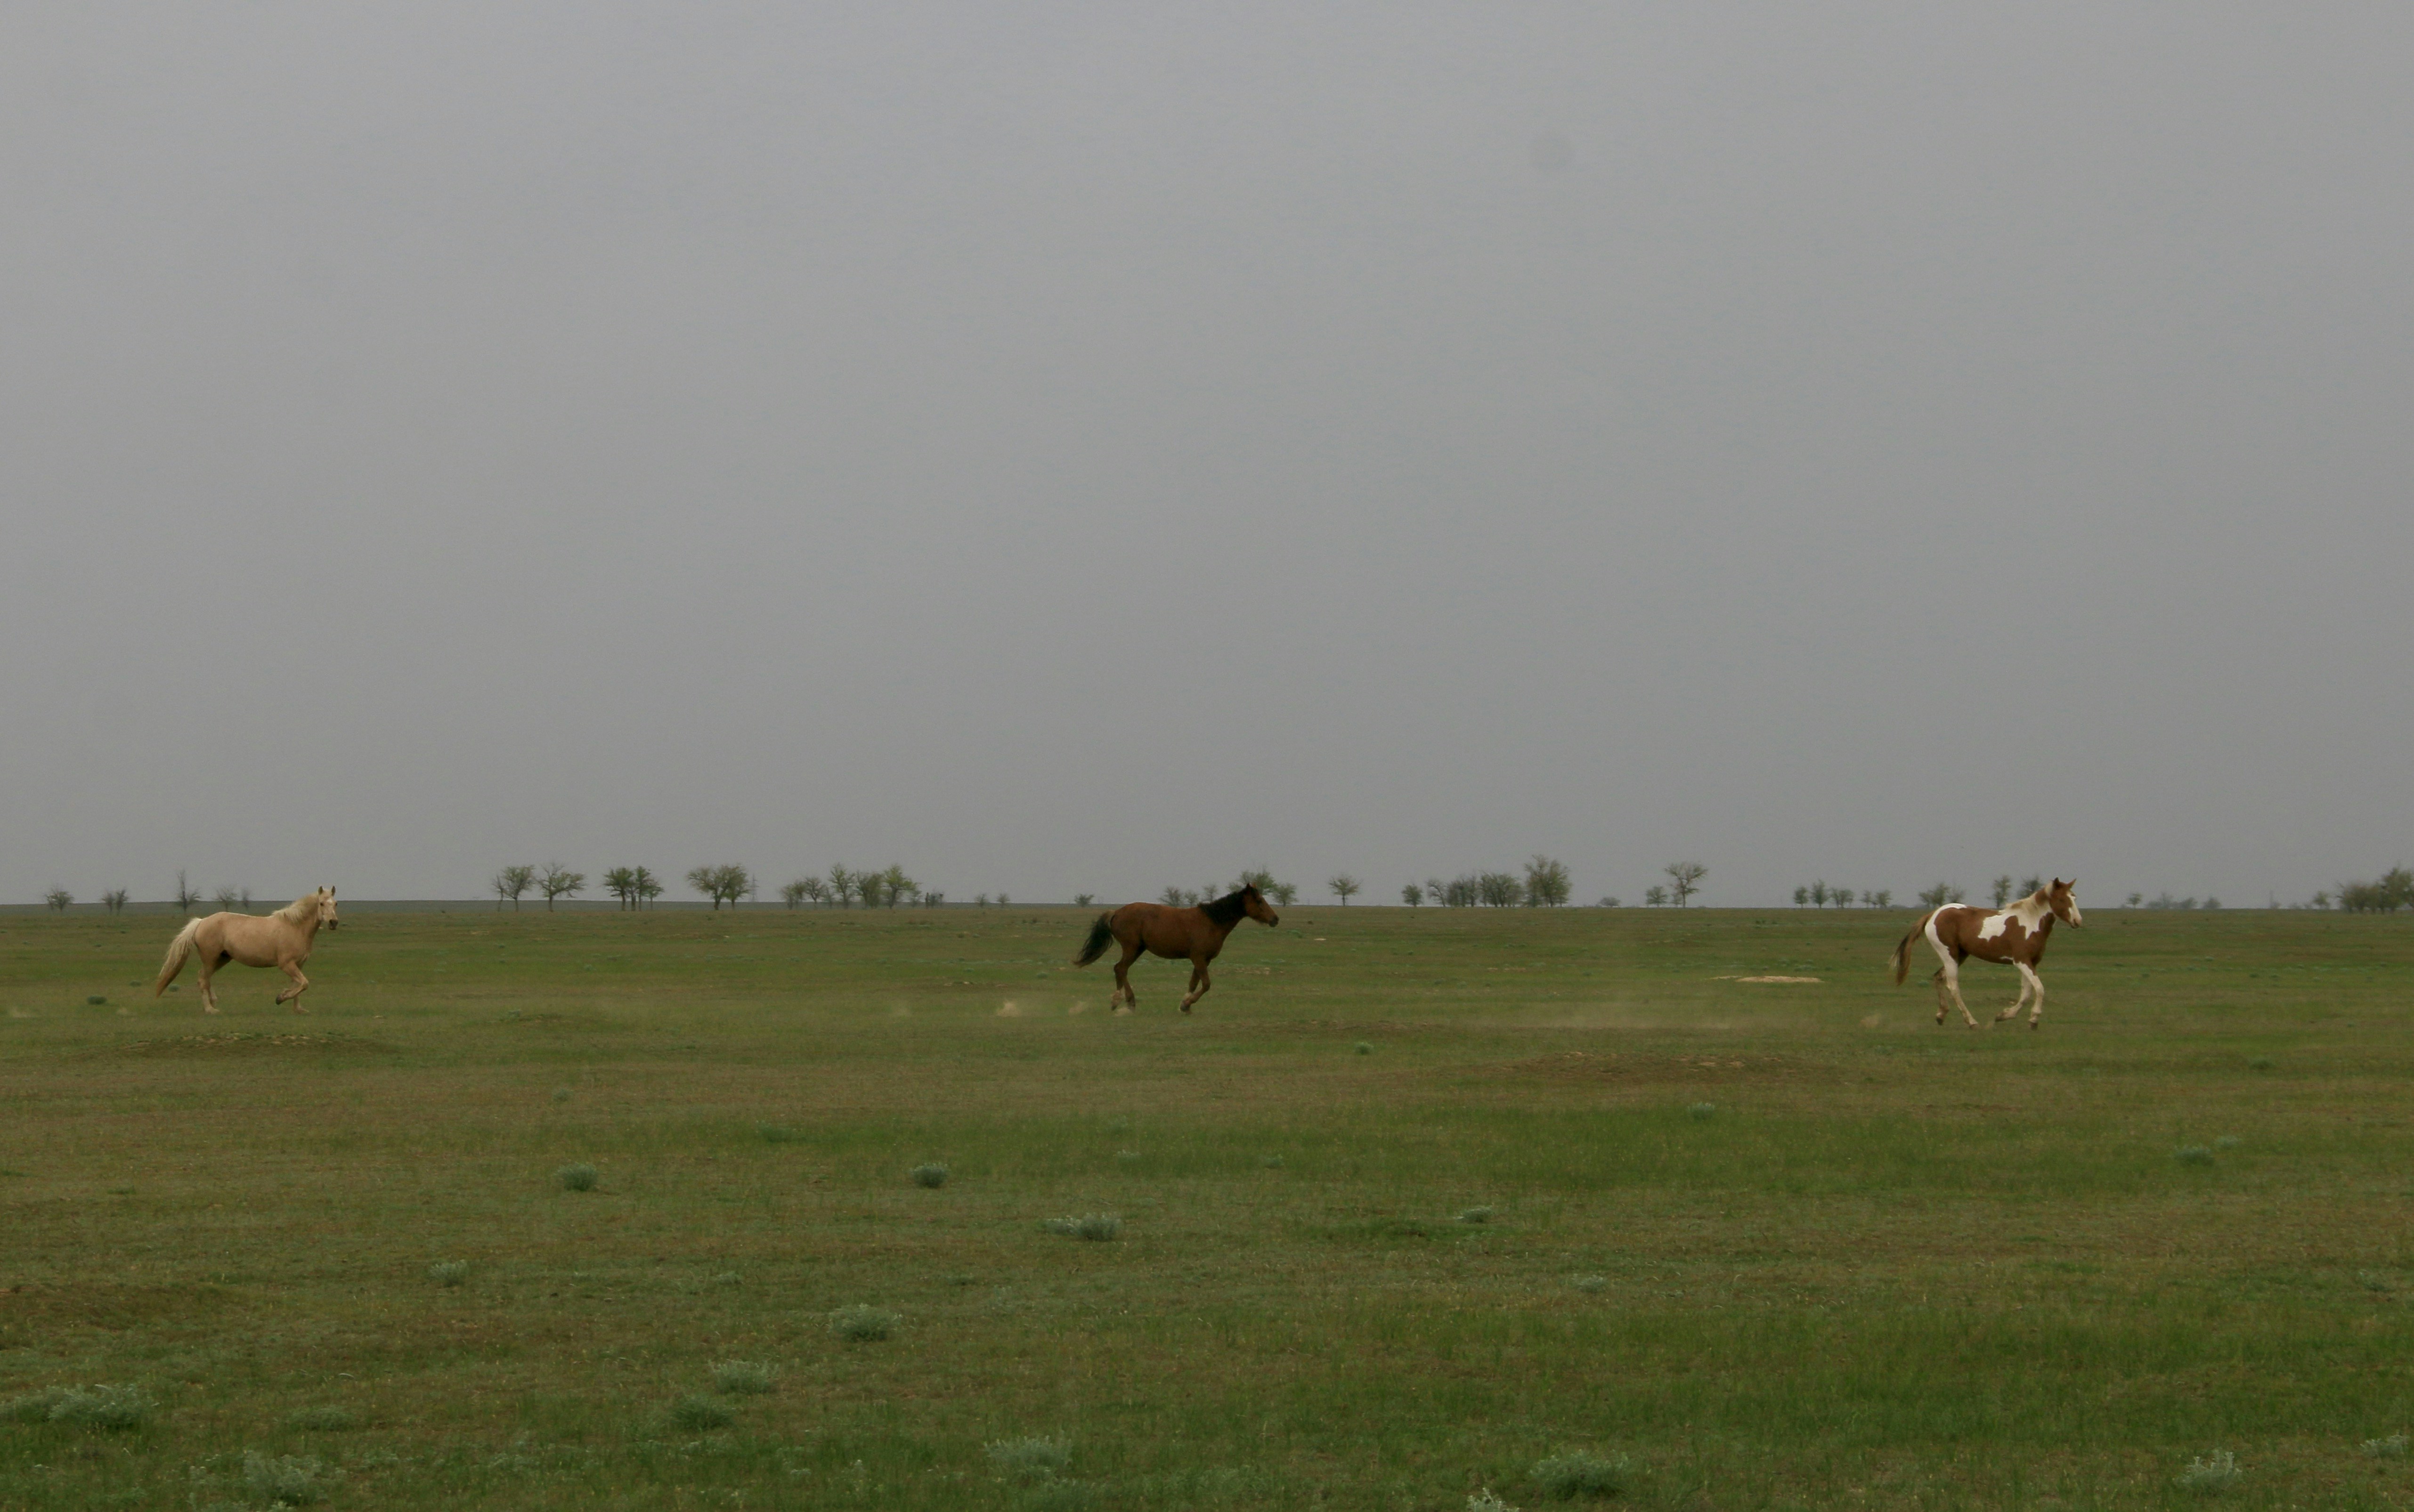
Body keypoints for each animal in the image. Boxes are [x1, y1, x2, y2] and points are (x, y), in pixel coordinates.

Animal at [153, 887, 341, 1014]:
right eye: (322, 903)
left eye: (336, 903)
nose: (333, 923)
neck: (295, 928)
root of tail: (201, 922)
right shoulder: (287, 965)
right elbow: (304, 984)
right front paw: (280, 998)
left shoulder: (299, 965)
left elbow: (298, 985)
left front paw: (298, 1009)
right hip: (210, 958)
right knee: (202, 979)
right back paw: (210, 1009)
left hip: (222, 959)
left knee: (207, 978)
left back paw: (214, 1003)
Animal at [1071, 884, 1281, 1013]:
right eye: (1259, 901)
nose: (1275, 919)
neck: (1211, 922)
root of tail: (1116, 913)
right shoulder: (1199, 958)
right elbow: (1206, 984)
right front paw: (1187, 1004)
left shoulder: (1203, 960)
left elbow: (1193, 983)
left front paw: (1185, 1005)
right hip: (1132, 948)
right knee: (1120, 969)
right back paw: (1128, 1002)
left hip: (1138, 950)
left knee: (1119, 969)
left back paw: (1116, 1001)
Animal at [1890, 879, 2082, 1029]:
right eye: (2061, 899)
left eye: (2074, 897)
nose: (2078, 921)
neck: (2031, 923)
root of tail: (1934, 914)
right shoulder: (2022, 961)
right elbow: (2039, 989)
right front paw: (2033, 1020)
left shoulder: (2030, 963)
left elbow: (2026, 993)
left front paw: (2004, 1016)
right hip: (1949, 955)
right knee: (1953, 986)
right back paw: (1972, 1022)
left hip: (1960, 955)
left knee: (1938, 978)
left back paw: (1941, 1016)